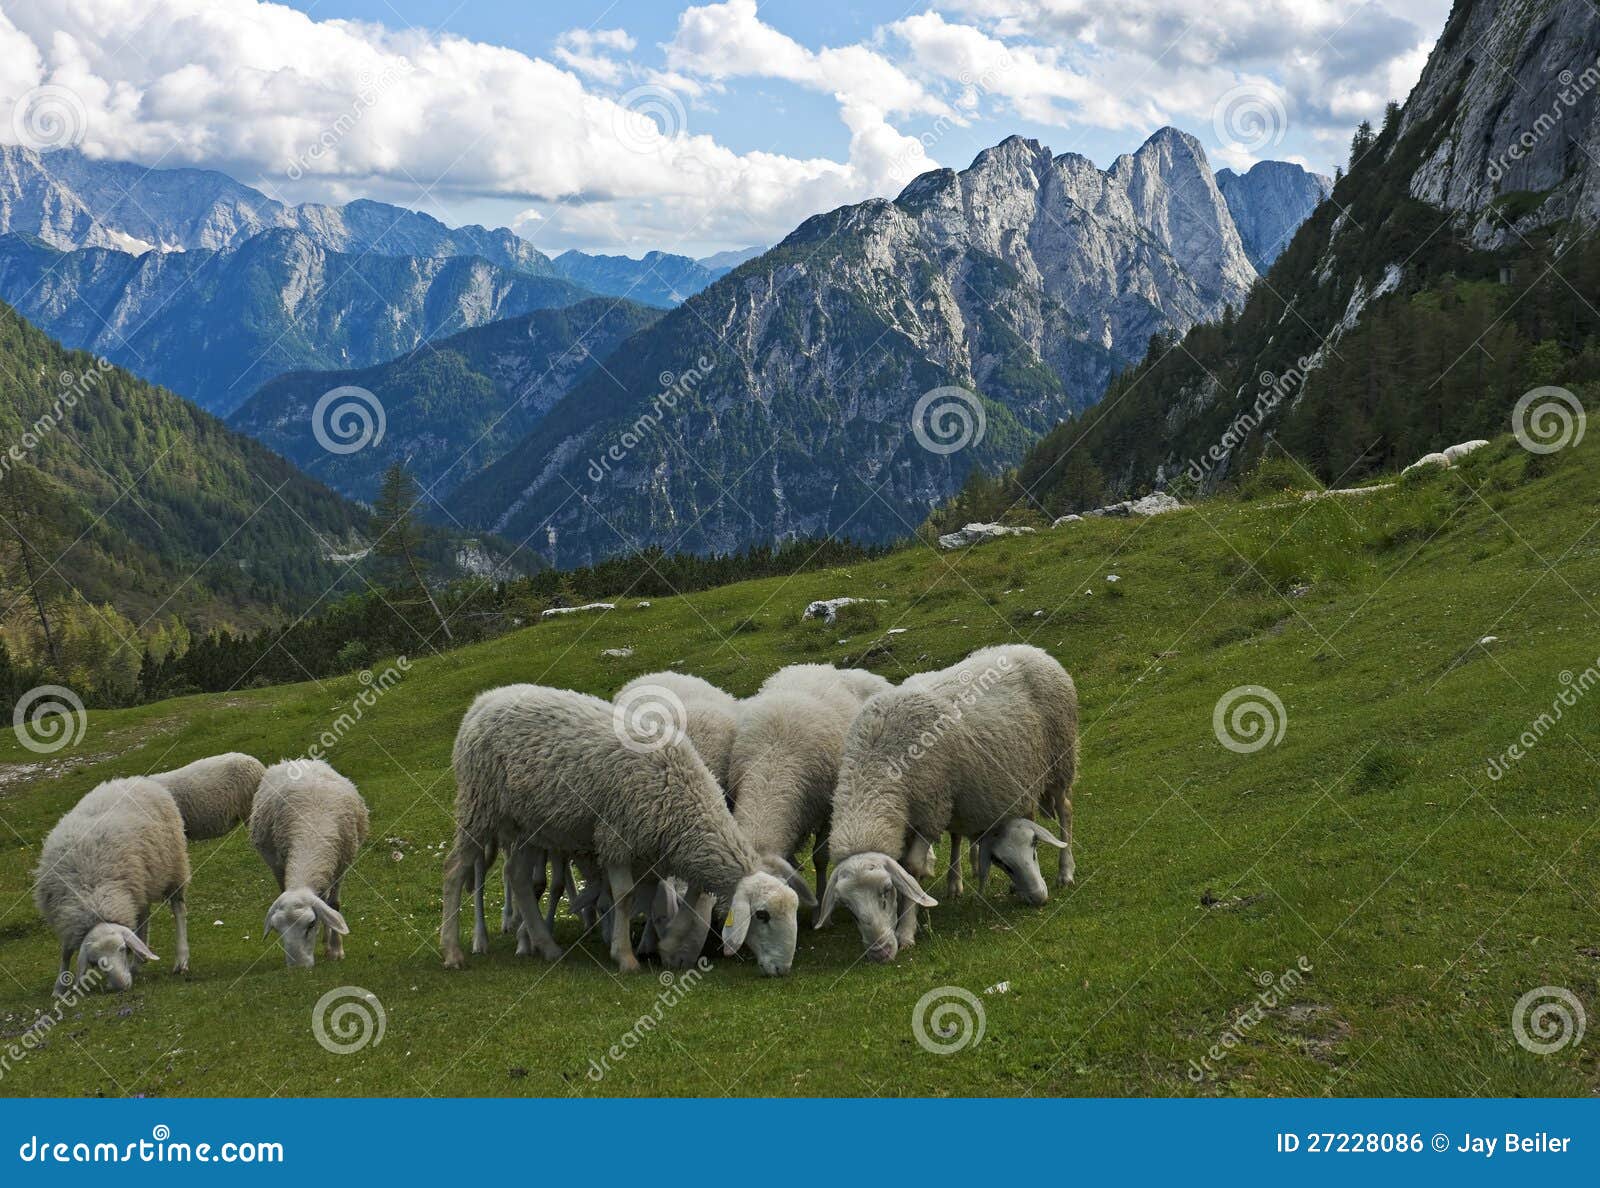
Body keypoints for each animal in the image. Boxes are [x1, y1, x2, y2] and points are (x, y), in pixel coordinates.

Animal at [33, 777, 190, 995]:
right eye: (96, 962)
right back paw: (139, 961)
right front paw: (59, 987)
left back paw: (180, 959)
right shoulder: (64, 915)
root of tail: (134, 779)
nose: (121, 986)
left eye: (123, 949)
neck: (93, 894)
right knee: (143, 916)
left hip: (174, 867)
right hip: (140, 884)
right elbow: (65, 951)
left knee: (178, 910)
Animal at [249, 760, 369, 968]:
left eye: (311, 924)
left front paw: (336, 950)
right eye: (278, 929)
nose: (298, 967)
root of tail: (292, 760)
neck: (312, 831)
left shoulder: (341, 865)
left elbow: (334, 905)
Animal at [440, 684, 809, 975]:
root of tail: (483, 701)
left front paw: (667, 946)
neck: (682, 793)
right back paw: (454, 951)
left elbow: (678, 897)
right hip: (480, 804)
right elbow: (625, 896)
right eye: (761, 916)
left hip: (528, 824)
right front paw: (625, 957)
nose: (783, 969)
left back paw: (546, 946)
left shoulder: (655, 847)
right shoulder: (616, 836)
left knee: (518, 877)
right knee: (456, 870)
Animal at [818, 644, 1078, 961]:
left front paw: (906, 931)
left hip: (1060, 760)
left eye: (886, 892)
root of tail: (1034, 650)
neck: (878, 764)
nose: (880, 953)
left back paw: (1065, 872)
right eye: (851, 910)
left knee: (1065, 810)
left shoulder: (930, 812)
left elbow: (912, 868)